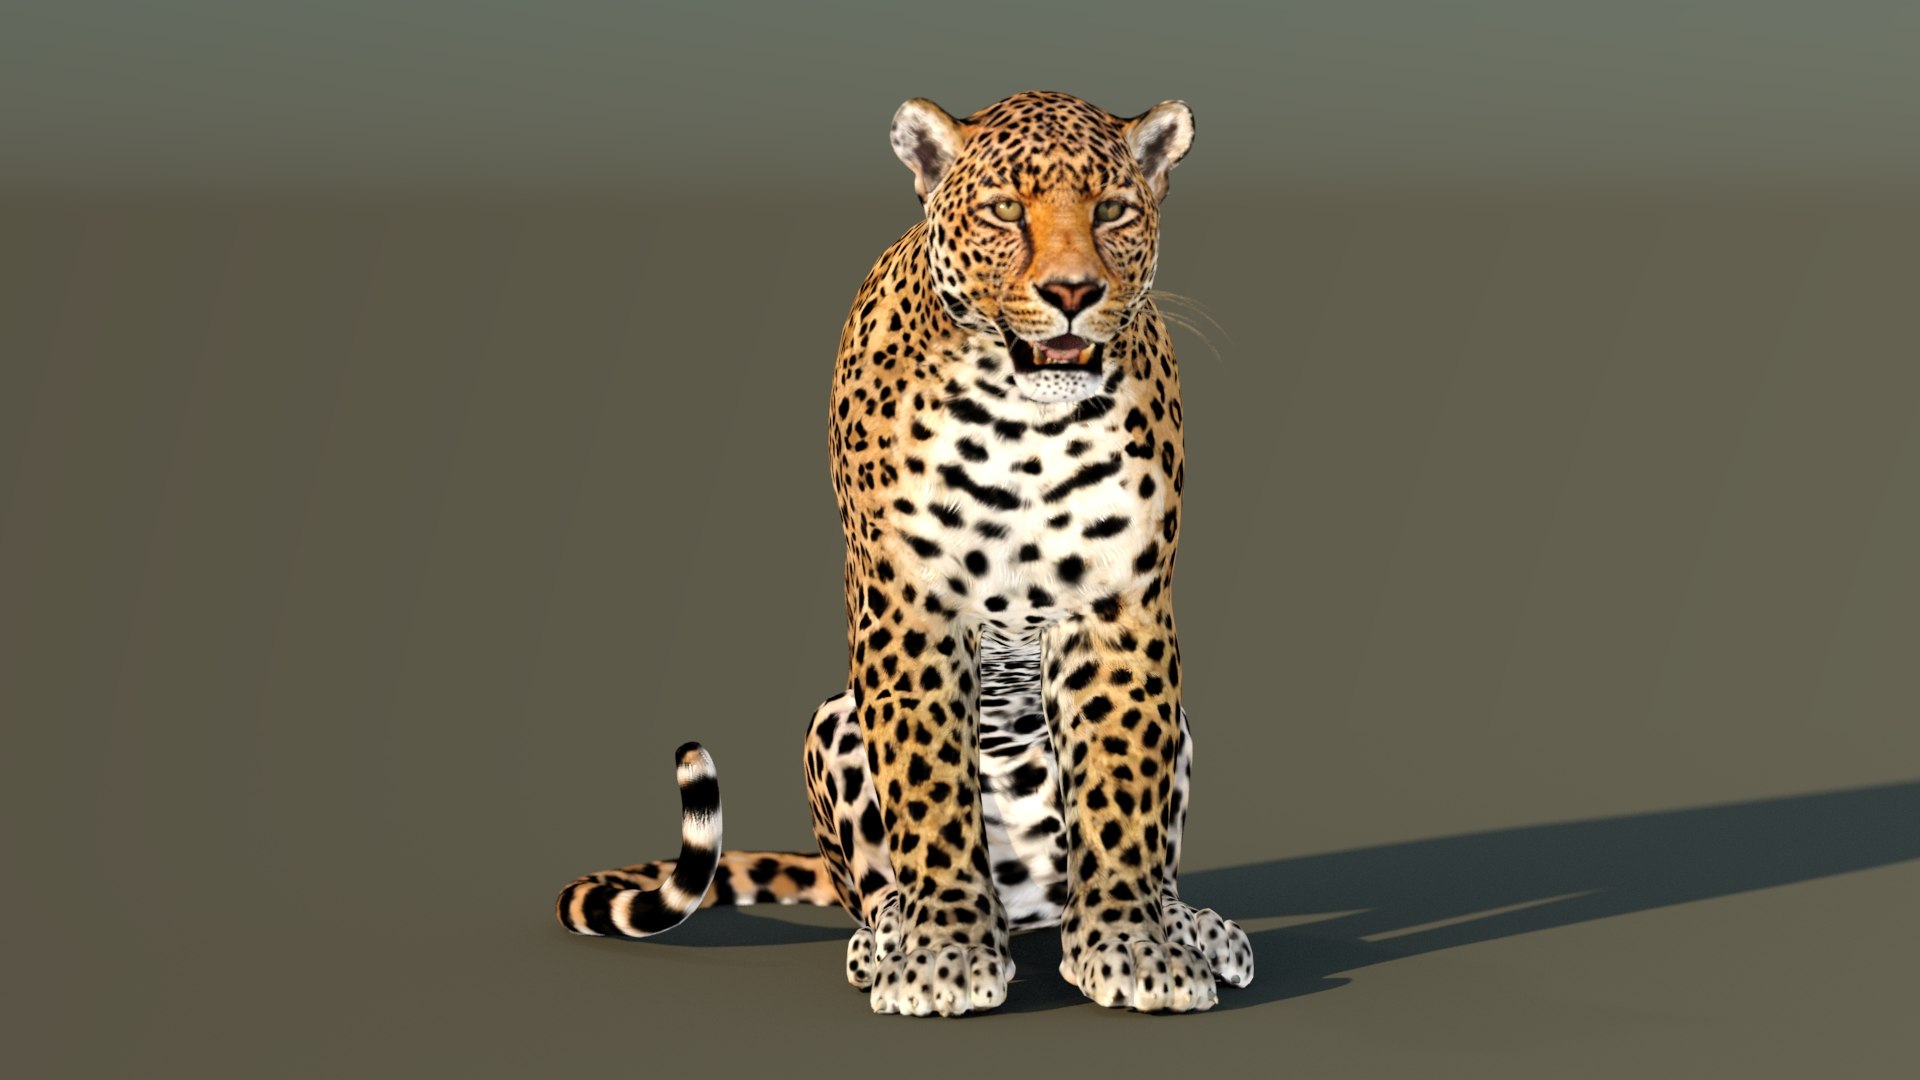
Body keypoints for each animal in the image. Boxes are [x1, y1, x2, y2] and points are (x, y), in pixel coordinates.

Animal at [555, 90, 1253, 1016]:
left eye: (1112, 210)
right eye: (1005, 211)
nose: (1074, 291)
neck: (1028, 423)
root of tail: (1031, 908)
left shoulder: (1119, 605)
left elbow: (1120, 789)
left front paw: (1134, 944)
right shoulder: (910, 603)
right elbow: (927, 789)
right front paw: (941, 952)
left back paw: (1194, 925)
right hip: (833, 720)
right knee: (873, 874)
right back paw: (887, 929)